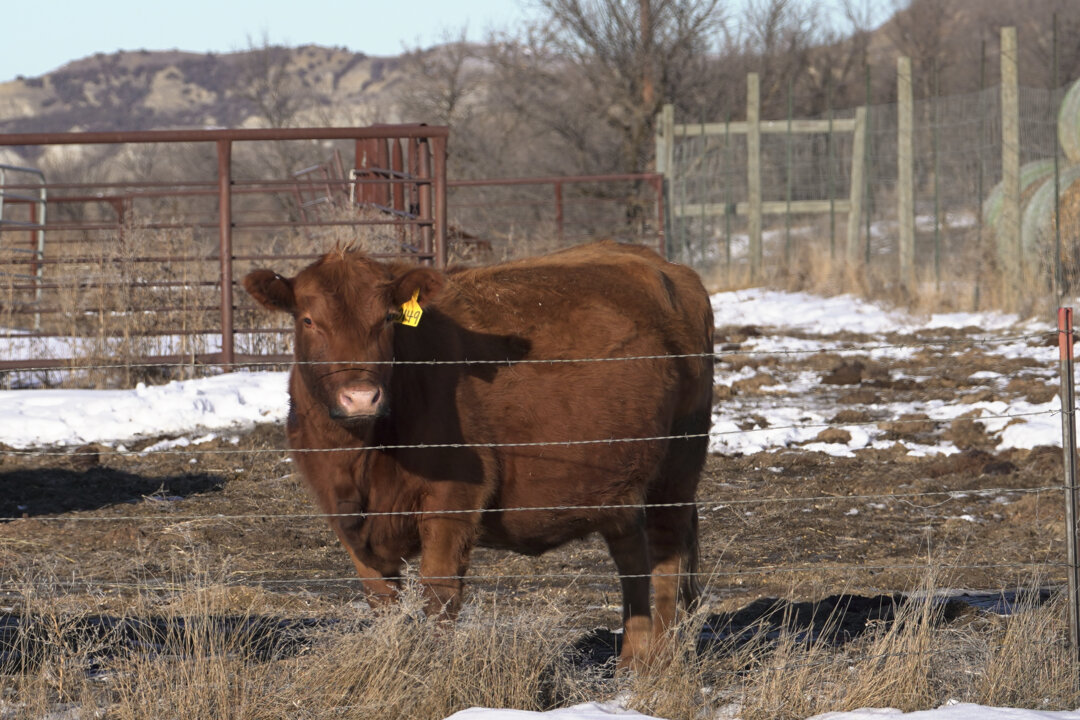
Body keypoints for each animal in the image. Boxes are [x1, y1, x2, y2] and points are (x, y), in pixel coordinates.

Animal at [243, 240, 714, 669]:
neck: (359, 457)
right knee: (632, 559)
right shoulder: (343, 516)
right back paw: (632, 661)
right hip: (621, 479)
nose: (361, 397)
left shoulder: (453, 500)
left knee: (668, 558)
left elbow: (439, 594)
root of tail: (662, 264)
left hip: (678, 467)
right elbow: (383, 601)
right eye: (308, 320)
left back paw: (662, 661)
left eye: (387, 320)